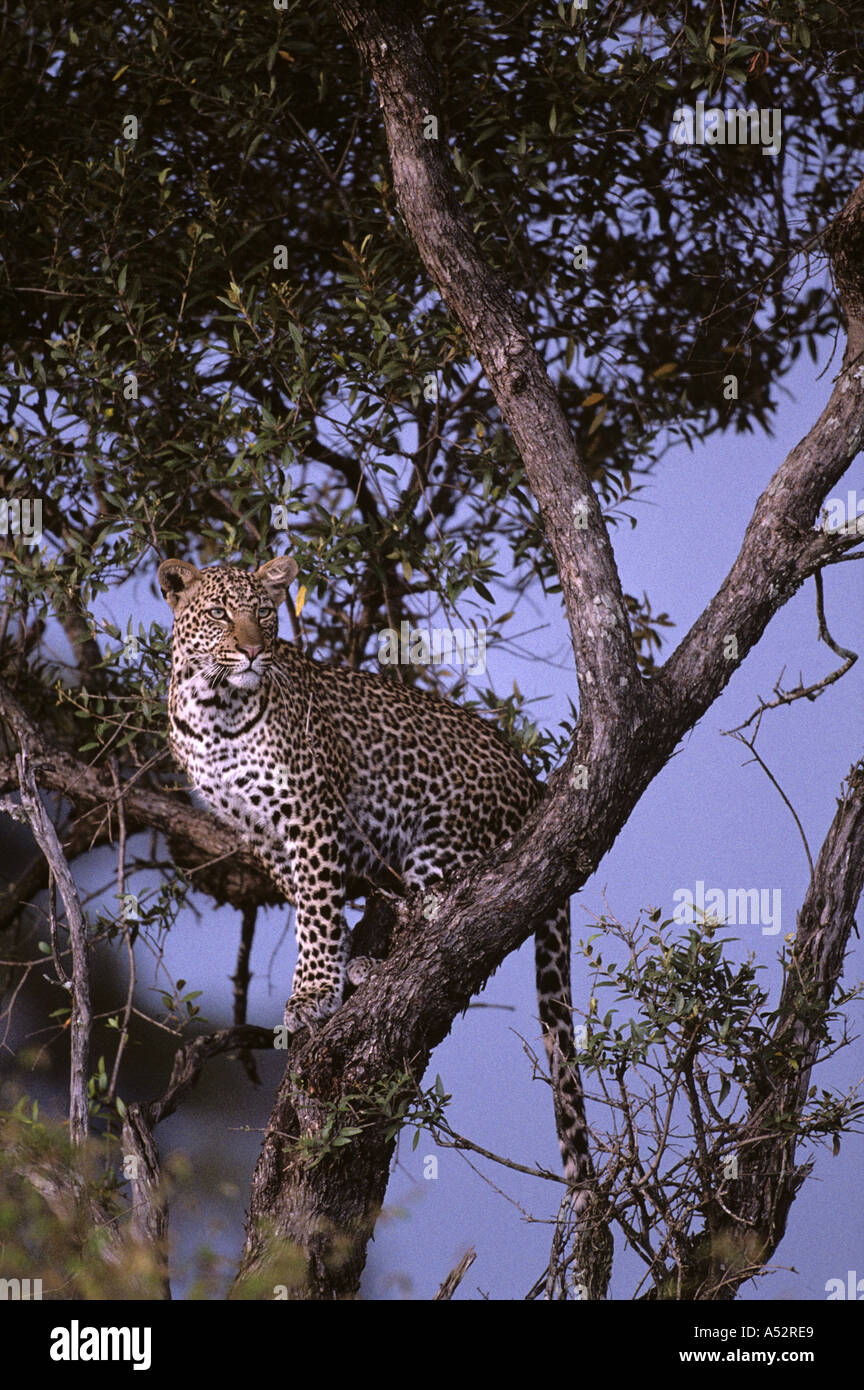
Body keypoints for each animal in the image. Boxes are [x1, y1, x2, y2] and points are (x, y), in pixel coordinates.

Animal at [157, 553, 592, 1191]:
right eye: (217, 613)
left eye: (263, 612)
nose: (254, 651)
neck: (212, 707)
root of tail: (533, 782)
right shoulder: (257, 831)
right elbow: (307, 901)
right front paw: (331, 971)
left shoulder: (310, 809)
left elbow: (316, 907)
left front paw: (314, 992)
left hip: (440, 845)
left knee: (450, 927)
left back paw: (375, 967)